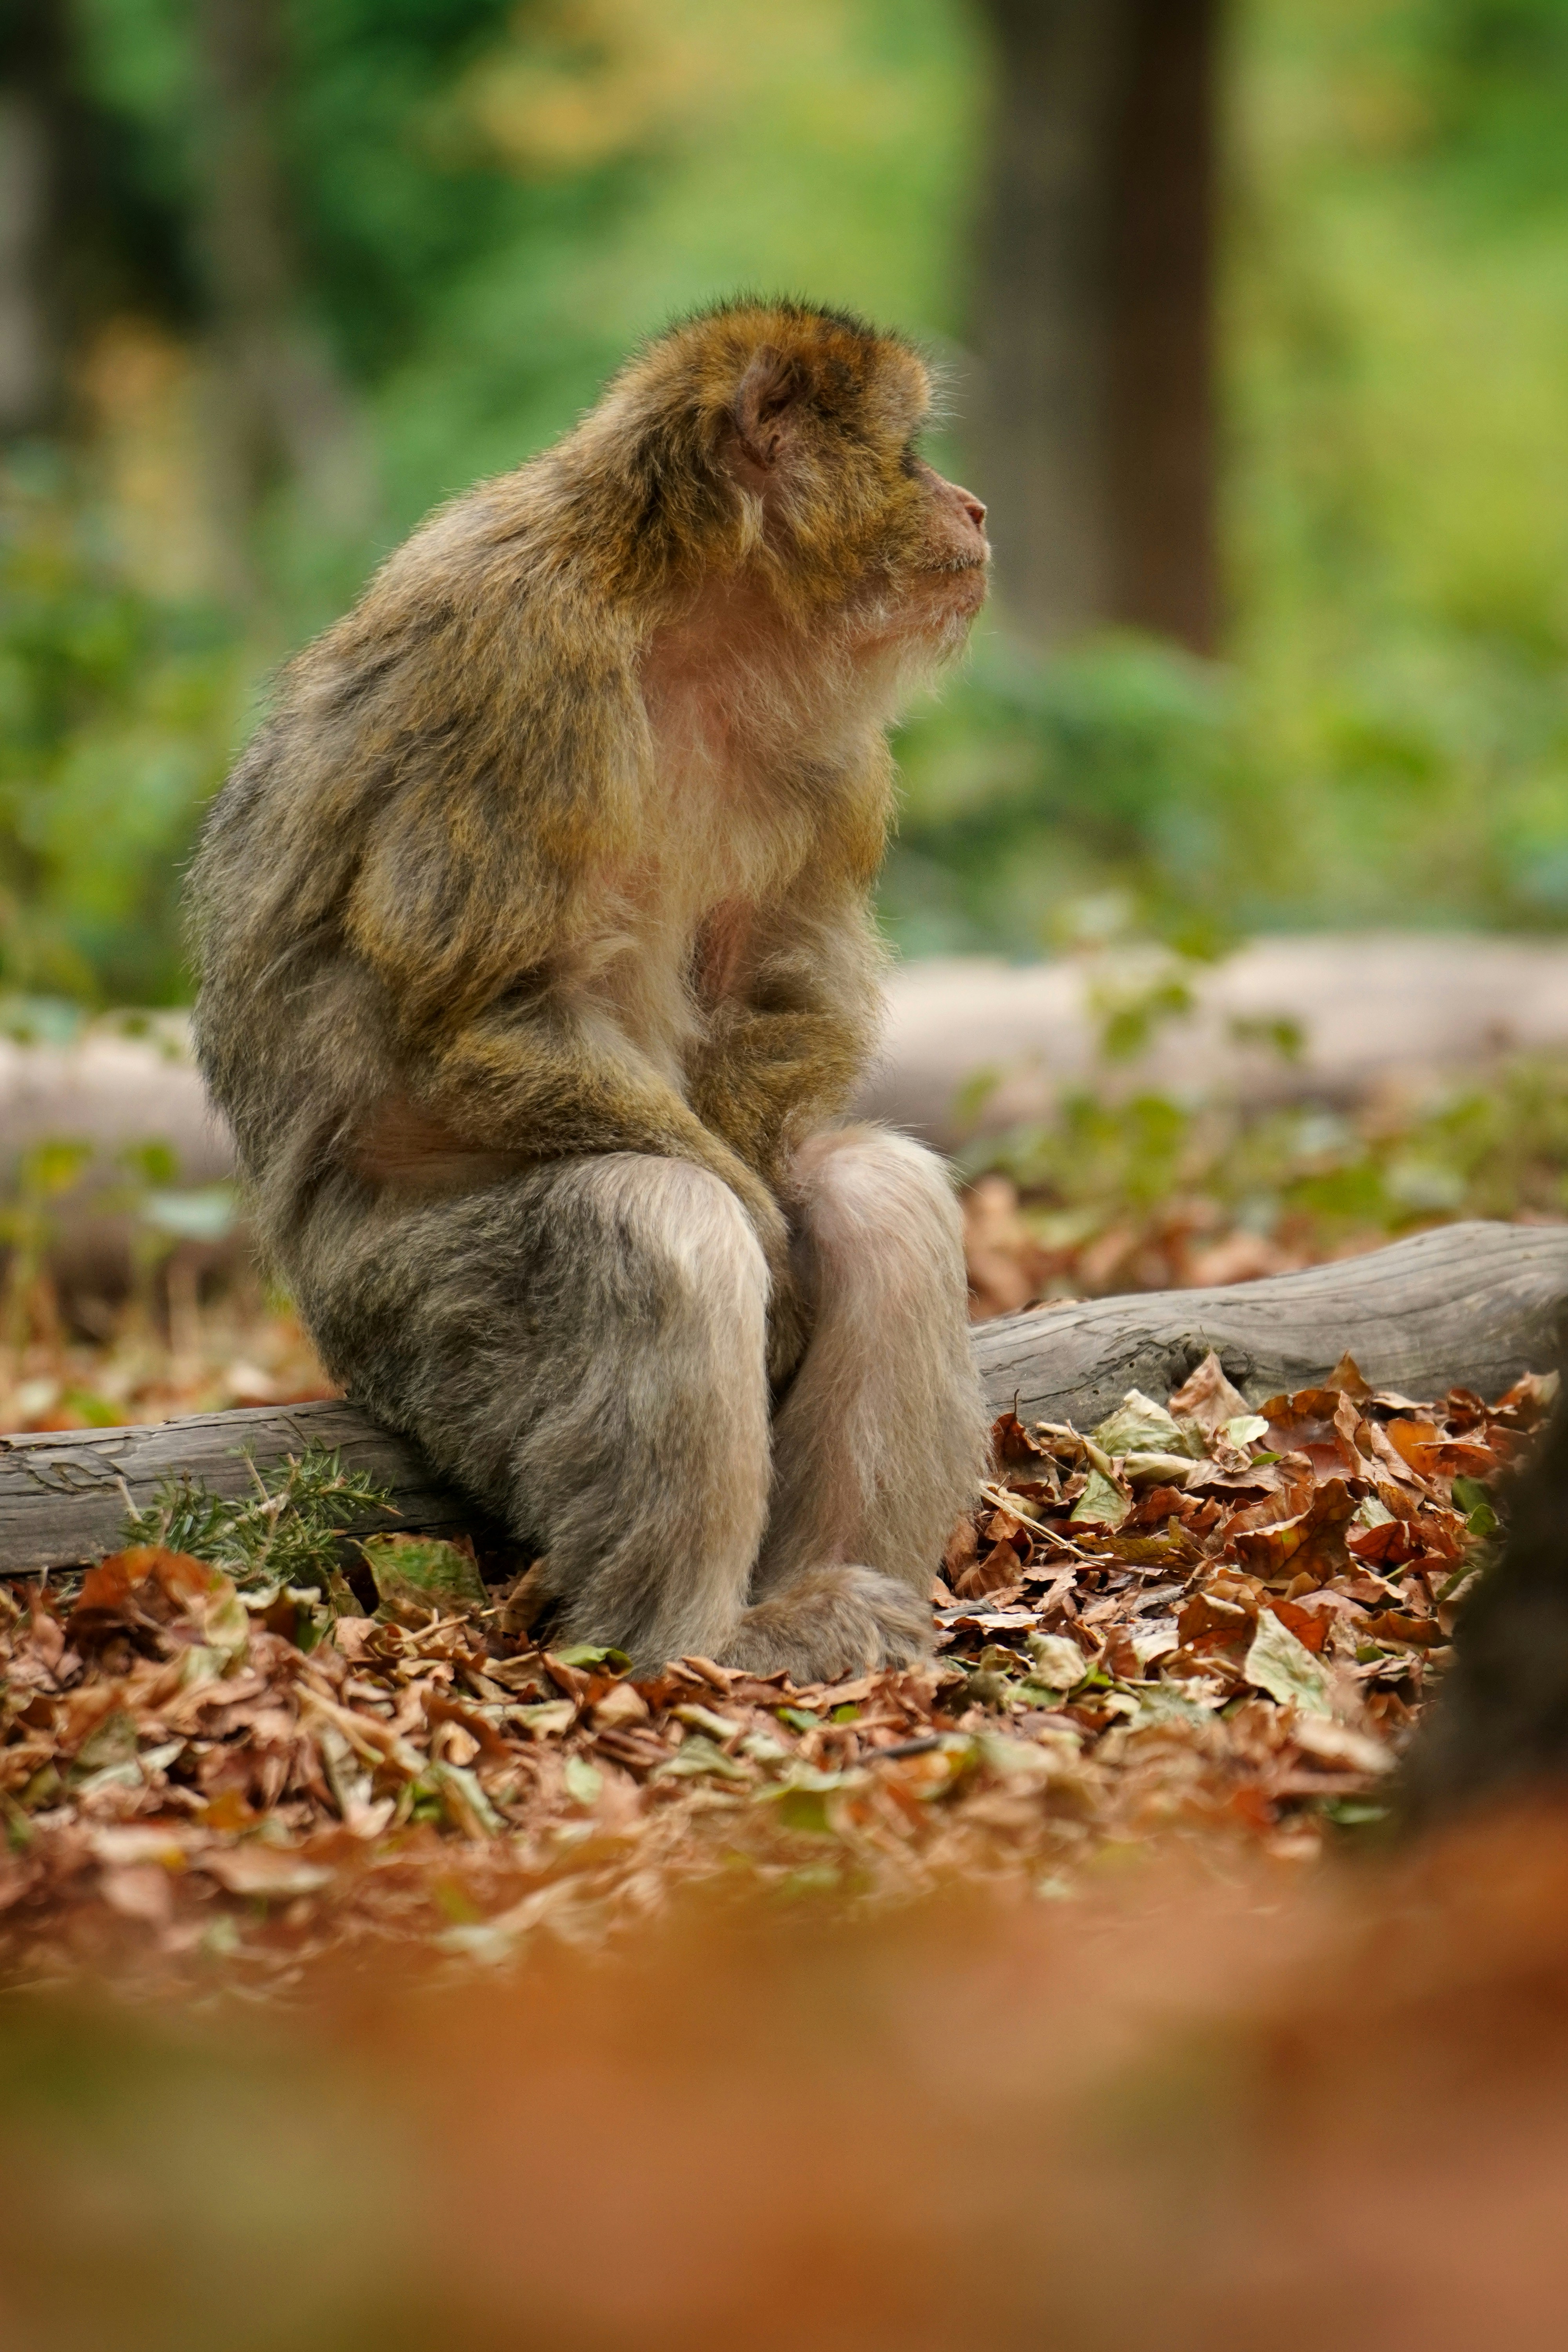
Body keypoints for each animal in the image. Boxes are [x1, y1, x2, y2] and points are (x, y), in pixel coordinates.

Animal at [187, 298, 993, 1682]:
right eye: (908, 458)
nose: (978, 506)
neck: (683, 622)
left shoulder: (833, 752)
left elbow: (784, 986)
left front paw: (780, 1200)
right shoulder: (518, 668)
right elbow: (476, 1017)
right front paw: (764, 1243)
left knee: (876, 1197)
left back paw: (832, 1600)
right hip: (401, 1326)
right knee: (656, 1224)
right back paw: (695, 1650)